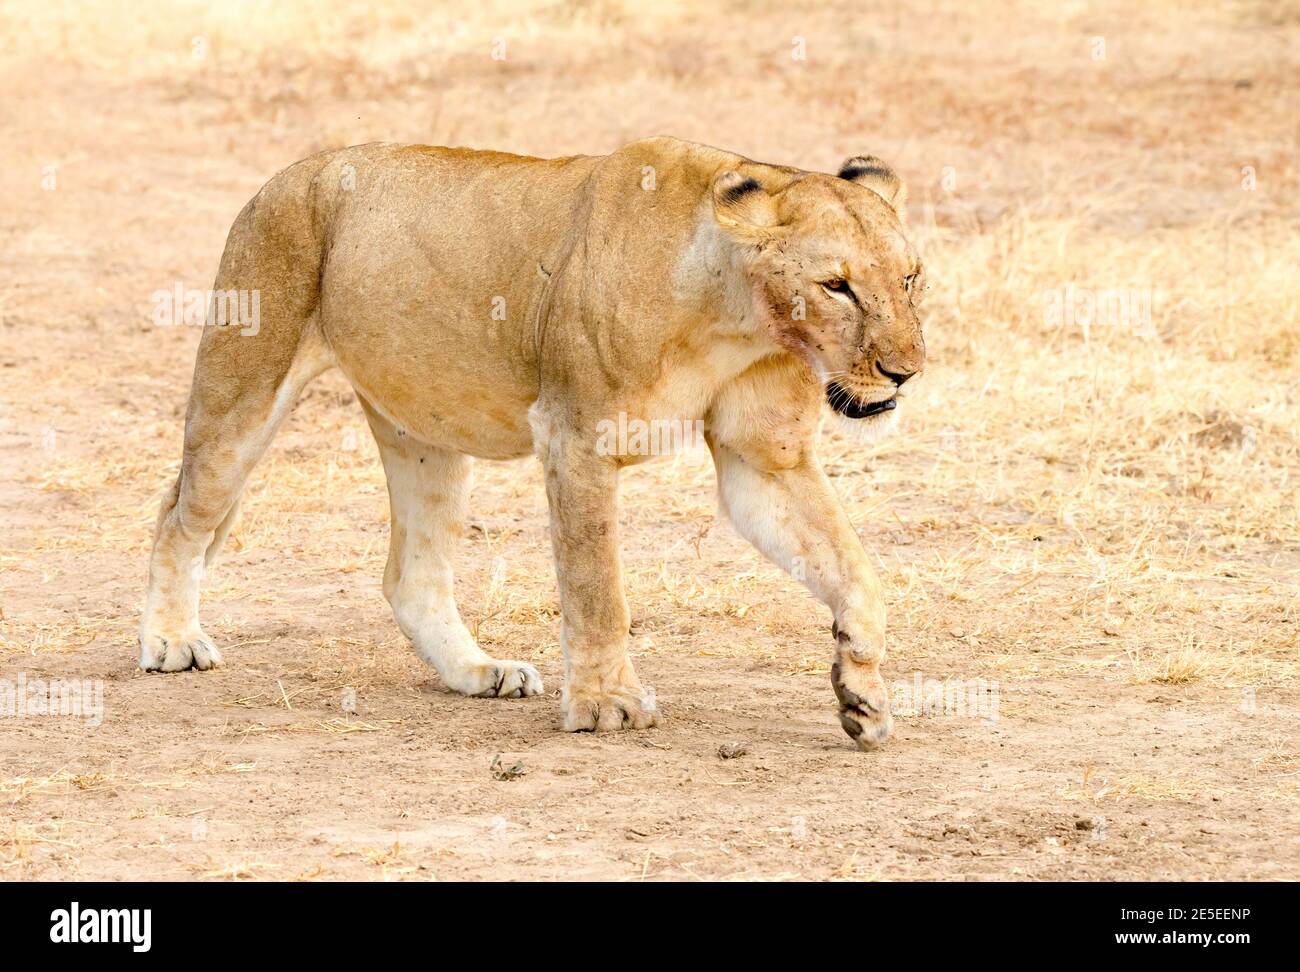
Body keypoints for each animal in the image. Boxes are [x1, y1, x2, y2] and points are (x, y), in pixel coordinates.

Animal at [139, 137, 926, 750]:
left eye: (910, 278)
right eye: (836, 286)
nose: (904, 372)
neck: (735, 317)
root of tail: (282, 177)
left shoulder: (762, 459)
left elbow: (856, 571)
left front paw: (861, 689)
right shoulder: (576, 437)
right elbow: (598, 588)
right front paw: (608, 704)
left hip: (426, 433)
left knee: (411, 576)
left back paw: (479, 673)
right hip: (244, 386)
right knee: (178, 516)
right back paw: (171, 641)